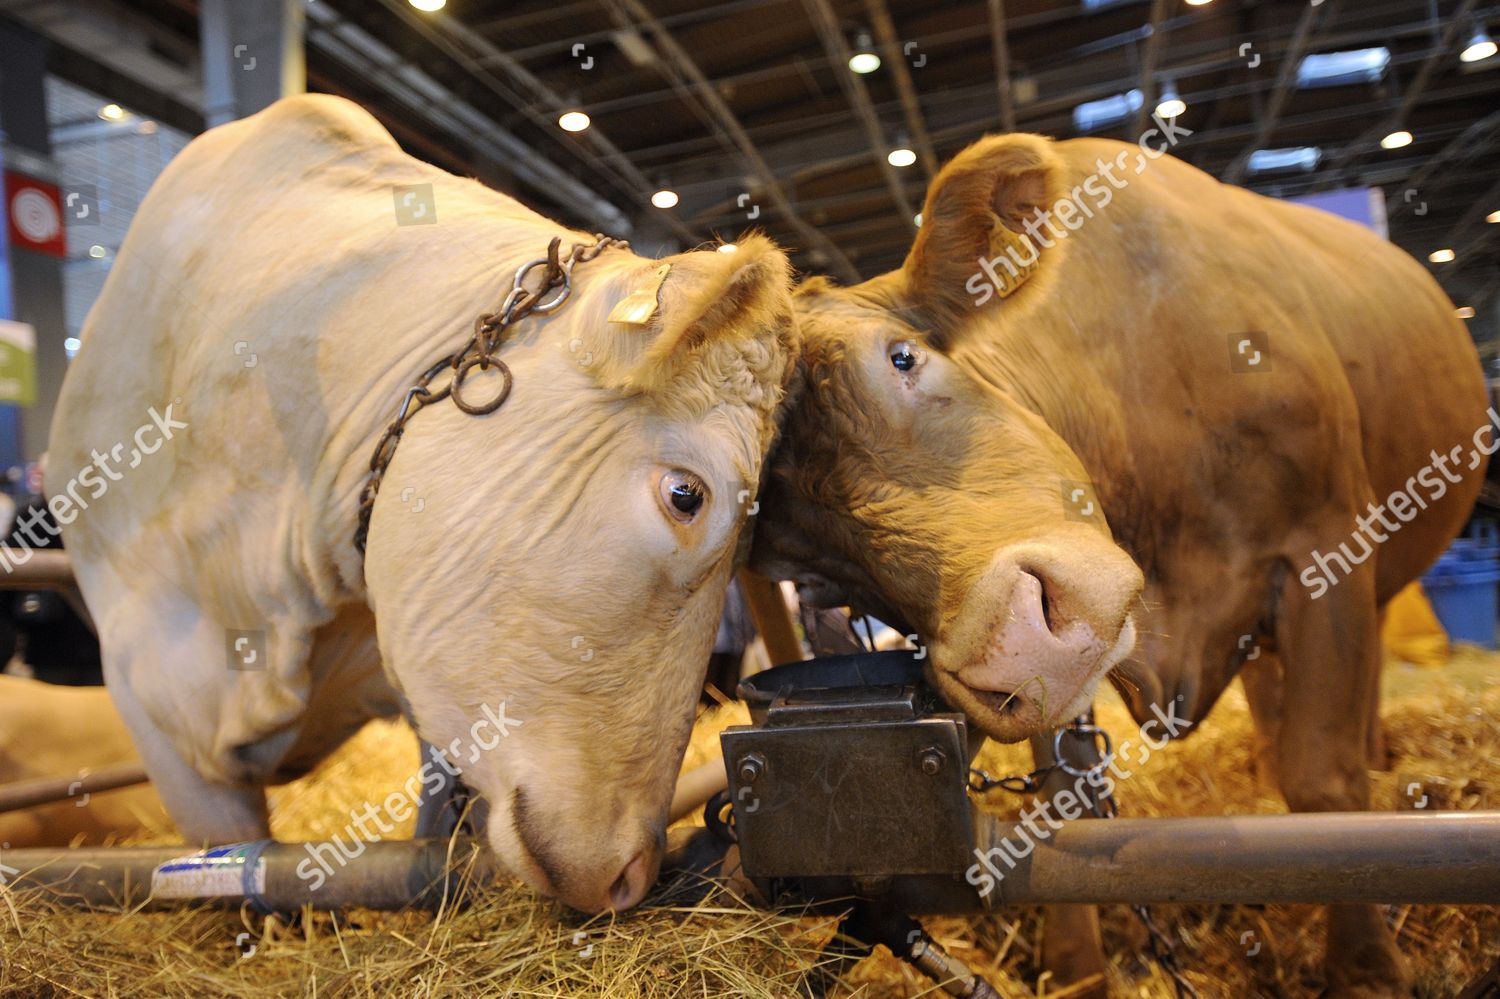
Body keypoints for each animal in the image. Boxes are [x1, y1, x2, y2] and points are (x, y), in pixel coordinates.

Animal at [751, 132, 1486, 996]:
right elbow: (1059, 804)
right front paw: (1076, 969)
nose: (1014, 643)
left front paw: (1365, 969)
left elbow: (1323, 776)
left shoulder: (1326, 540)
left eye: (900, 358)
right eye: (807, 568)